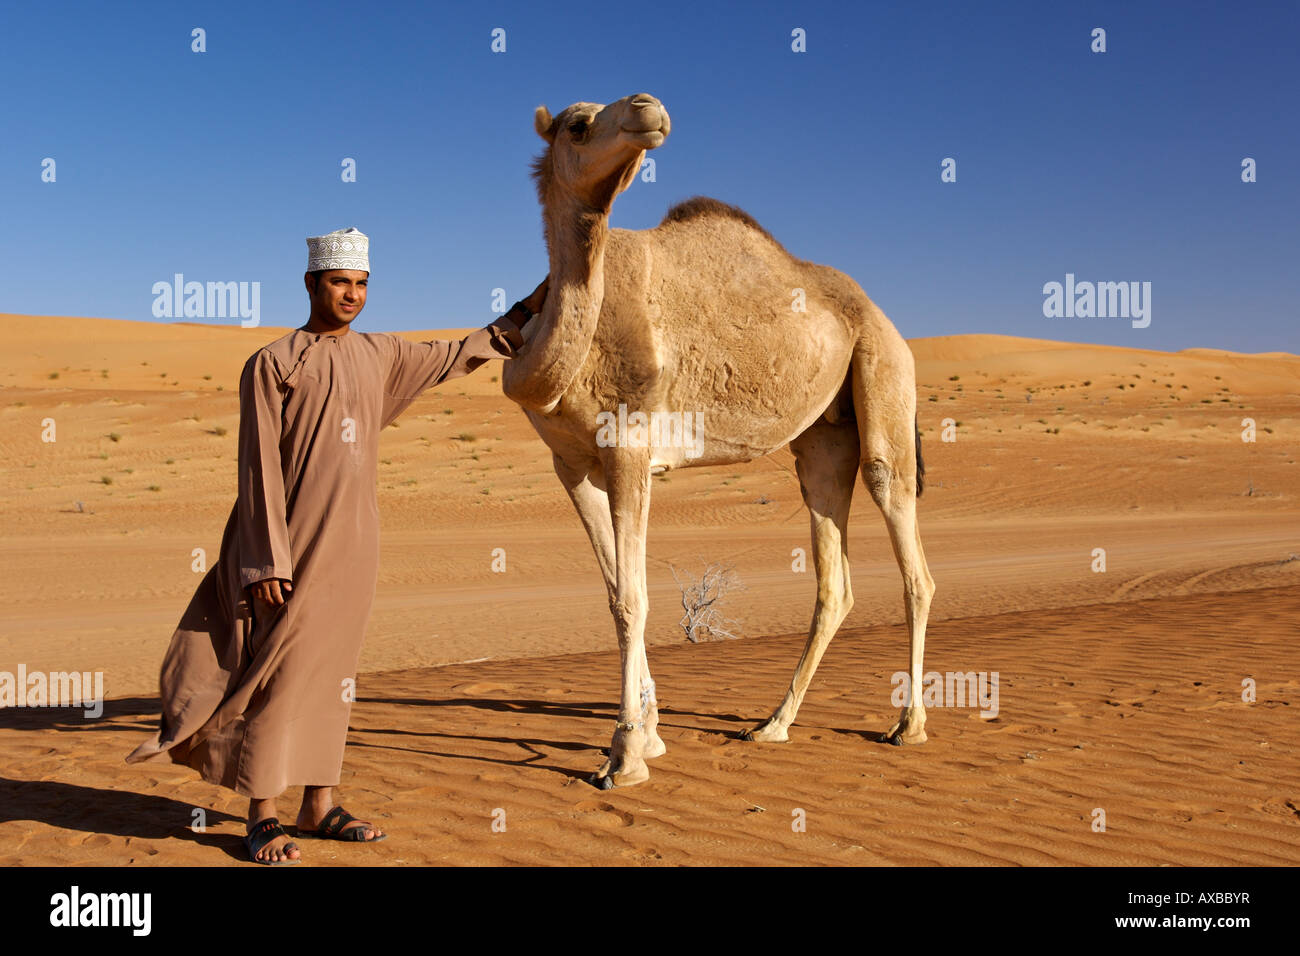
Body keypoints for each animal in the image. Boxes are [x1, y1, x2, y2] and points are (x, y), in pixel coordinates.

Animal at [501, 93, 936, 789]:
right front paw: (649, 735)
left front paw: (625, 755)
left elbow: (634, 598)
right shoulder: (570, 463)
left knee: (906, 544)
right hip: (823, 440)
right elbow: (616, 593)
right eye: (578, 125)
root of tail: (882, 315)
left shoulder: (628, 445)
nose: (647, 108)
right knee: (834, 578)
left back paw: (908, 724)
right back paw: (774, 724)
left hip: (885, 372)